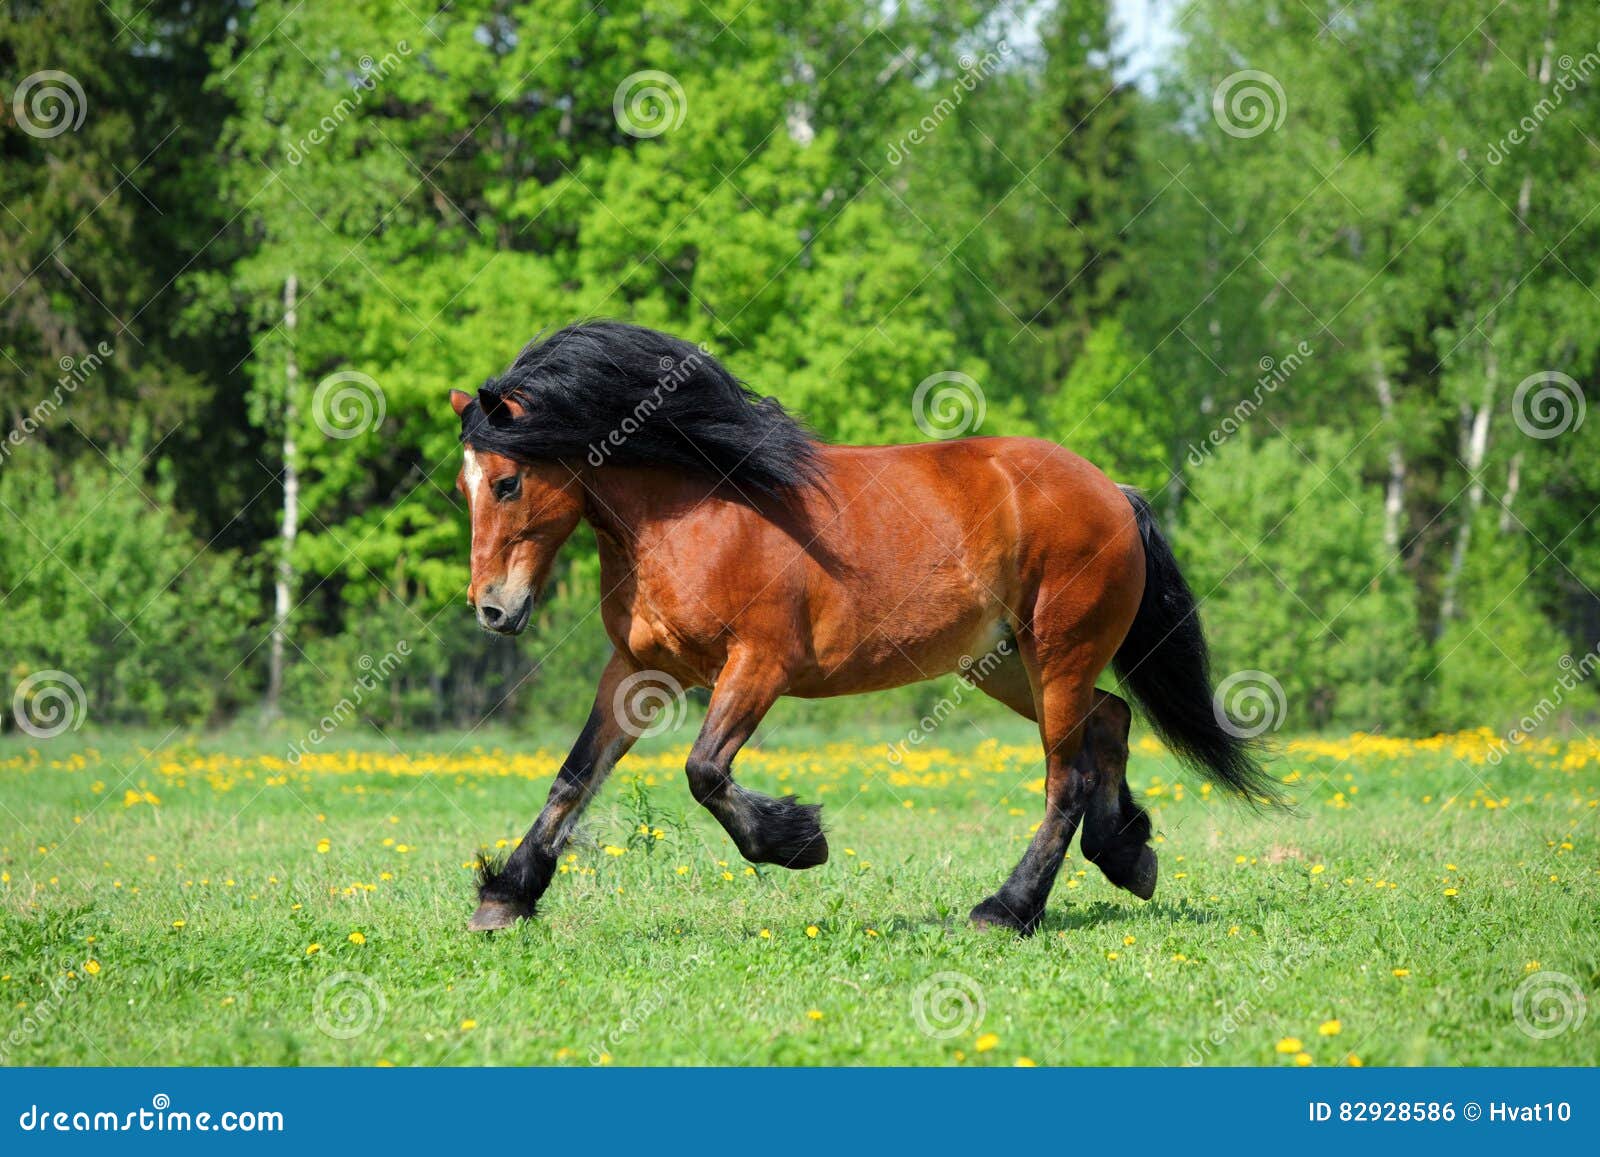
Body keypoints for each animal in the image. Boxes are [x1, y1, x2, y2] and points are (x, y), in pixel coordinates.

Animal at [450, 321, 1275, 935]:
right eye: (464, 486)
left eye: (508, 482)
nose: (492, 608)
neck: (691, 517)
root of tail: (1112, 490)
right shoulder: (637, 670)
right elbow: (575, 774)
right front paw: (507, 895)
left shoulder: (761, 664)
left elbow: (705, 770)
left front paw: (799, 840)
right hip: (1009, 664)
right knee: (1110, 719)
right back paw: (1128, 855)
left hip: (1059, 652)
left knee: (1065, 775)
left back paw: (1007, 908)